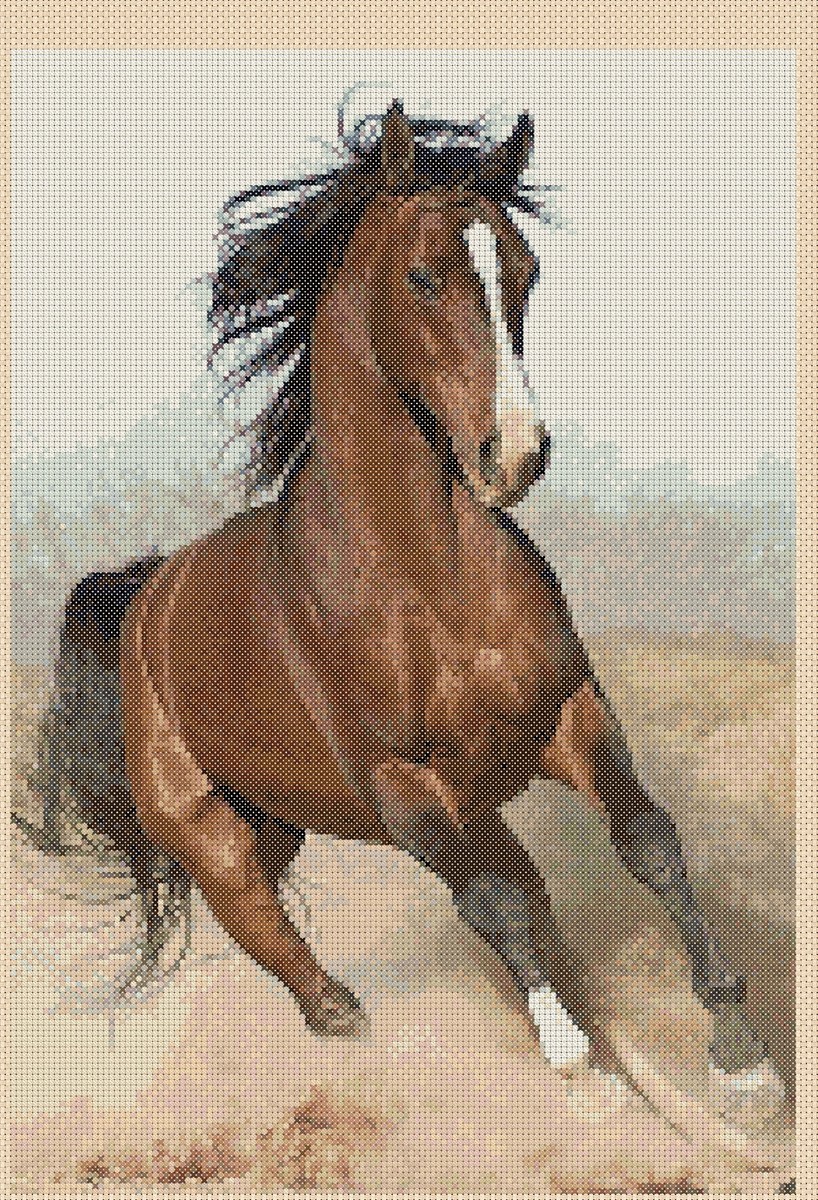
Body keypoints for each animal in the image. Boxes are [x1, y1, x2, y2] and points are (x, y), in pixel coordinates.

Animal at [21, 101, 785, 1133]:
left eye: (524, 271)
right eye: (424, 275)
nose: (516, 453)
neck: (428, 580)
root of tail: (146, 598)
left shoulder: (566, 717)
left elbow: (647, 842)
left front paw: (742, 1062)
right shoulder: (400, 784)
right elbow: (494, 908)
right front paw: (572, 1058)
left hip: (384, 814)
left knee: (518, 893)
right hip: (222, 843)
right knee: (301, 963)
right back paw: (366, 1026)